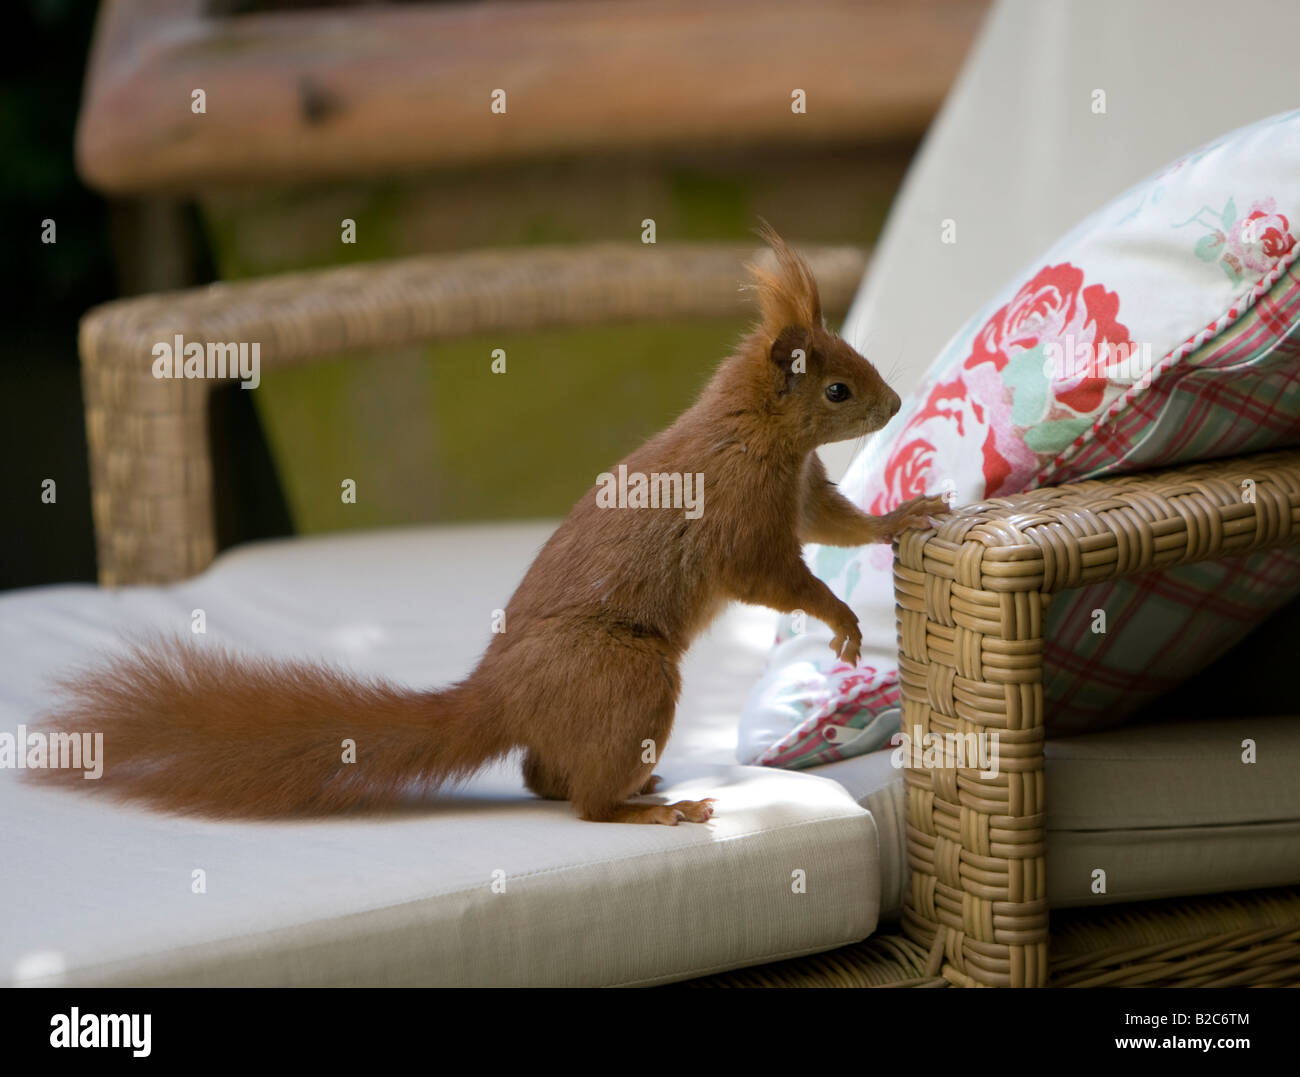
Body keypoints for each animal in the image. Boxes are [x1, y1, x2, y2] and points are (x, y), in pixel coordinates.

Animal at [30, 226, 947, 825]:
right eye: (837, 389)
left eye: (858, 367)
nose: (894, 403)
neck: (754, 430)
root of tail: (503, 693)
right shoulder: (742, 514)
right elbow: (777, 576)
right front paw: (841, 618)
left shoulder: (802, 494)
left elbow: (841, 521)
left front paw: (907, 513)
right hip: (627, 676)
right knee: (580, 803)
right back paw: (645, 808)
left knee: (545, 778)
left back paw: (637, 789)